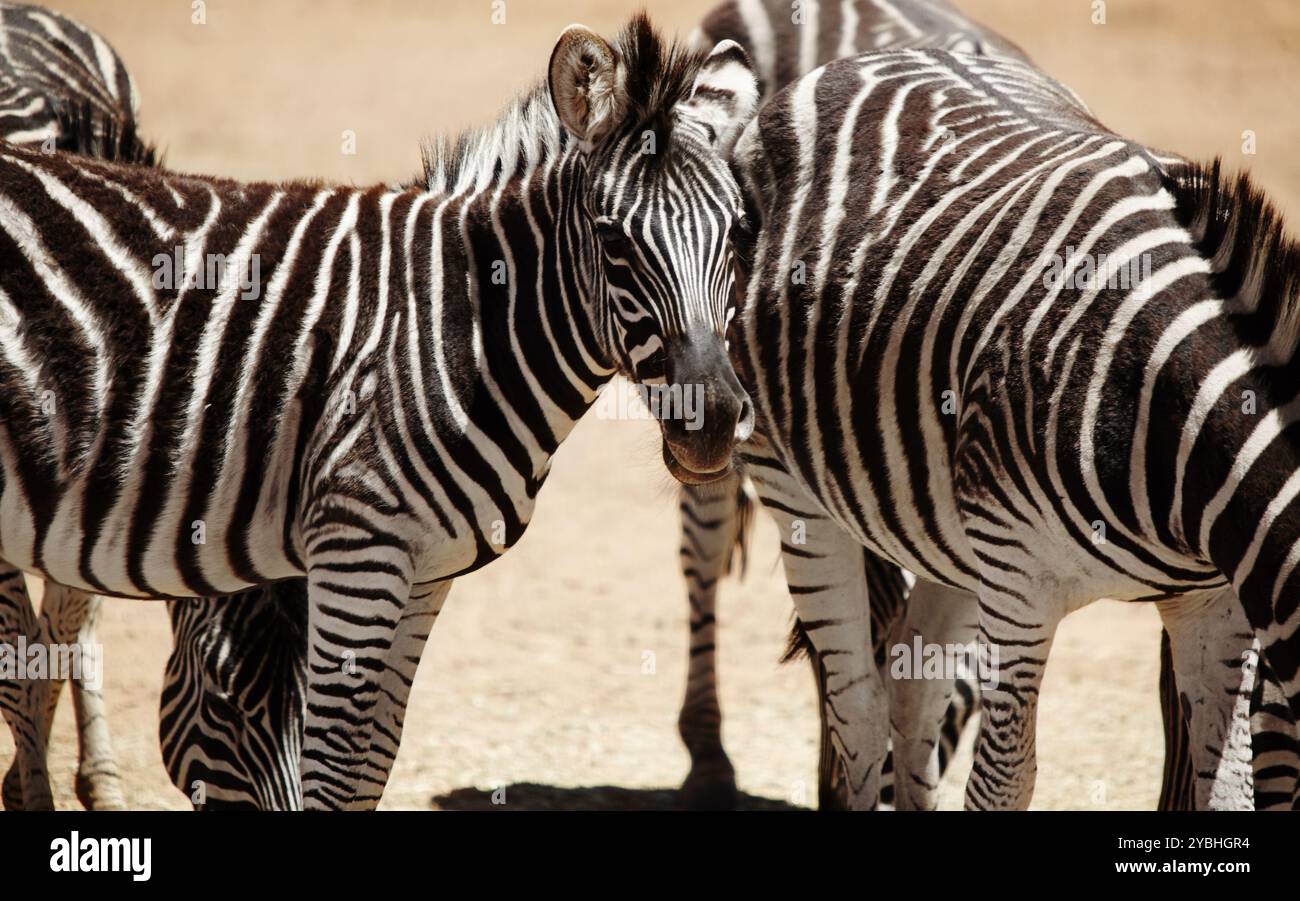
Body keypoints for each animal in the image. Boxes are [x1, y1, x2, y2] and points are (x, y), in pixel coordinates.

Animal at [0, 13, 760, 810]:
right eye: (612, 238)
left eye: (741, 230)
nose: (712, 422)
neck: (455, 326)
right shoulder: (355, 548)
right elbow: (336, 770)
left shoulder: (425, 568)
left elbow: (369, 765)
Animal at [724, 45, 1300, 809]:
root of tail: (867, 59)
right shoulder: (1020, 583)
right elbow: (1004, 777)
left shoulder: (1214, 601)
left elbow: (1229, 786)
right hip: (795, 489)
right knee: (858, 709)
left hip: (943, 523)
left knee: (911, 692)